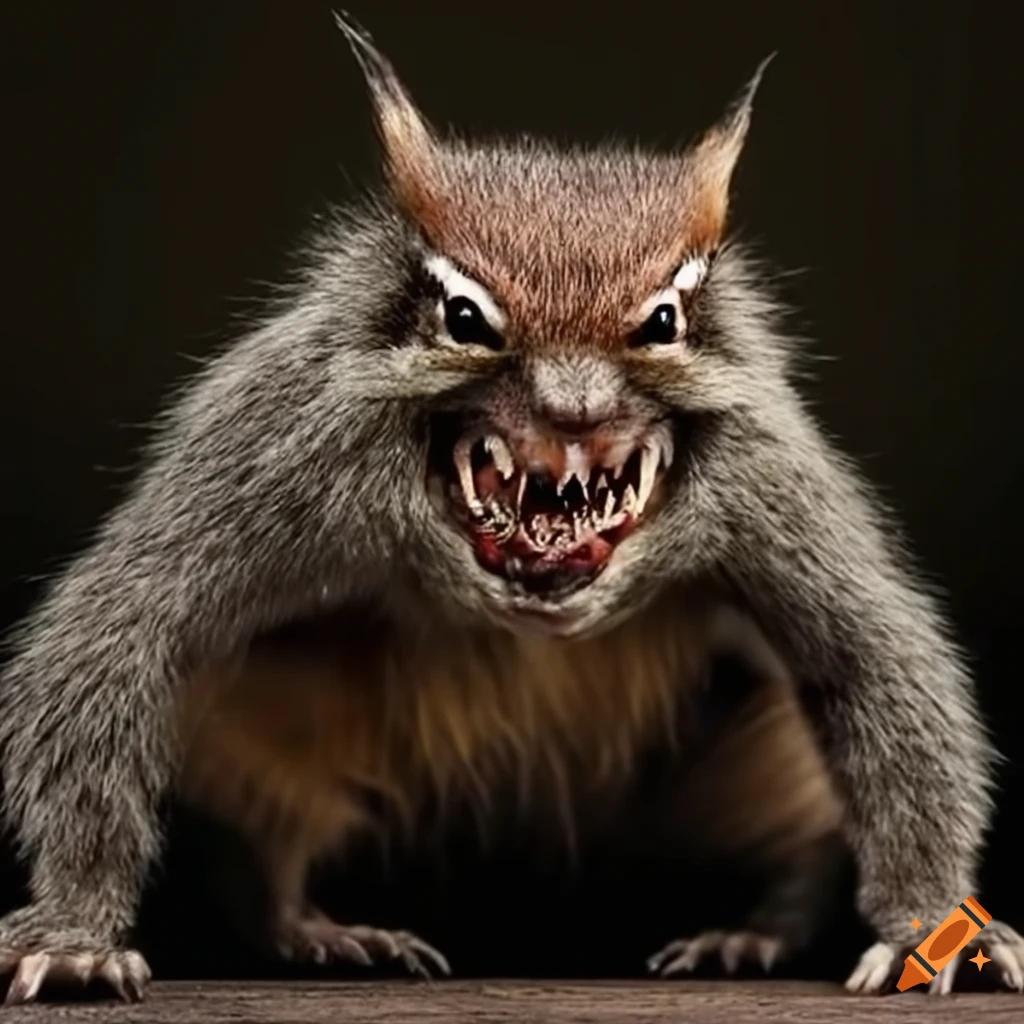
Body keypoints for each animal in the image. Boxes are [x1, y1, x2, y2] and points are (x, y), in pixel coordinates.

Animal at [2, 11, 1022, 1003]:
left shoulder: (774, 489)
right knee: (267, 862)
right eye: (464, 318)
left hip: (759, 776)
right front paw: (75, 936)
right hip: (266, 746)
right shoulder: (276, 446)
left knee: (799, 853)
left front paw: (932, 924)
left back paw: (746, 937)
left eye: (664, 321)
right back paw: (329, 933)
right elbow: (122, 628)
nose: (573, 408)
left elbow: (874, 662)